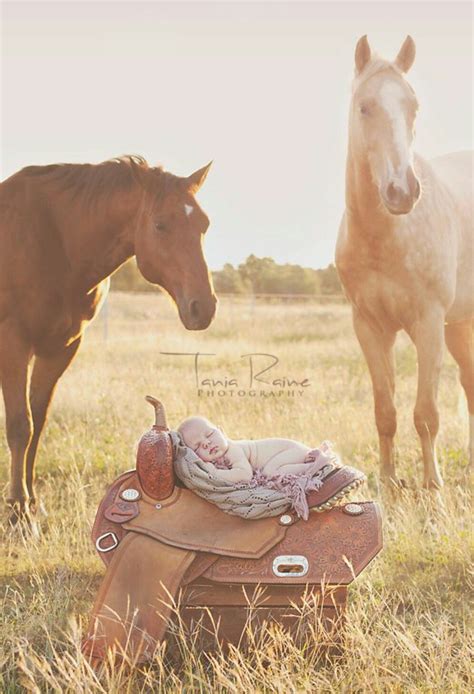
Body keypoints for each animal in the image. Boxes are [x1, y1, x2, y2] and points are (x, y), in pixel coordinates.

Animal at [0, 155, 217, 524]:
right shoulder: (13, 342)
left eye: (204, 224)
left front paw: (32, 503)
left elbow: (37, 421)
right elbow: (20, 426)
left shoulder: (61, 348)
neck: (52, 236)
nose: (204, 307)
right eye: (160, 225)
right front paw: (18, 510)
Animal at [336, 36, 473, 490]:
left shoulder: (428, 322)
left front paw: (434, 487)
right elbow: (386, 412)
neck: (384, 237)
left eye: (414, 107)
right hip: (460, 324)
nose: (403, 191)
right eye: (365, 107)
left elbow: (426, 414)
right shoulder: (369, 326)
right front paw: (388, 481)